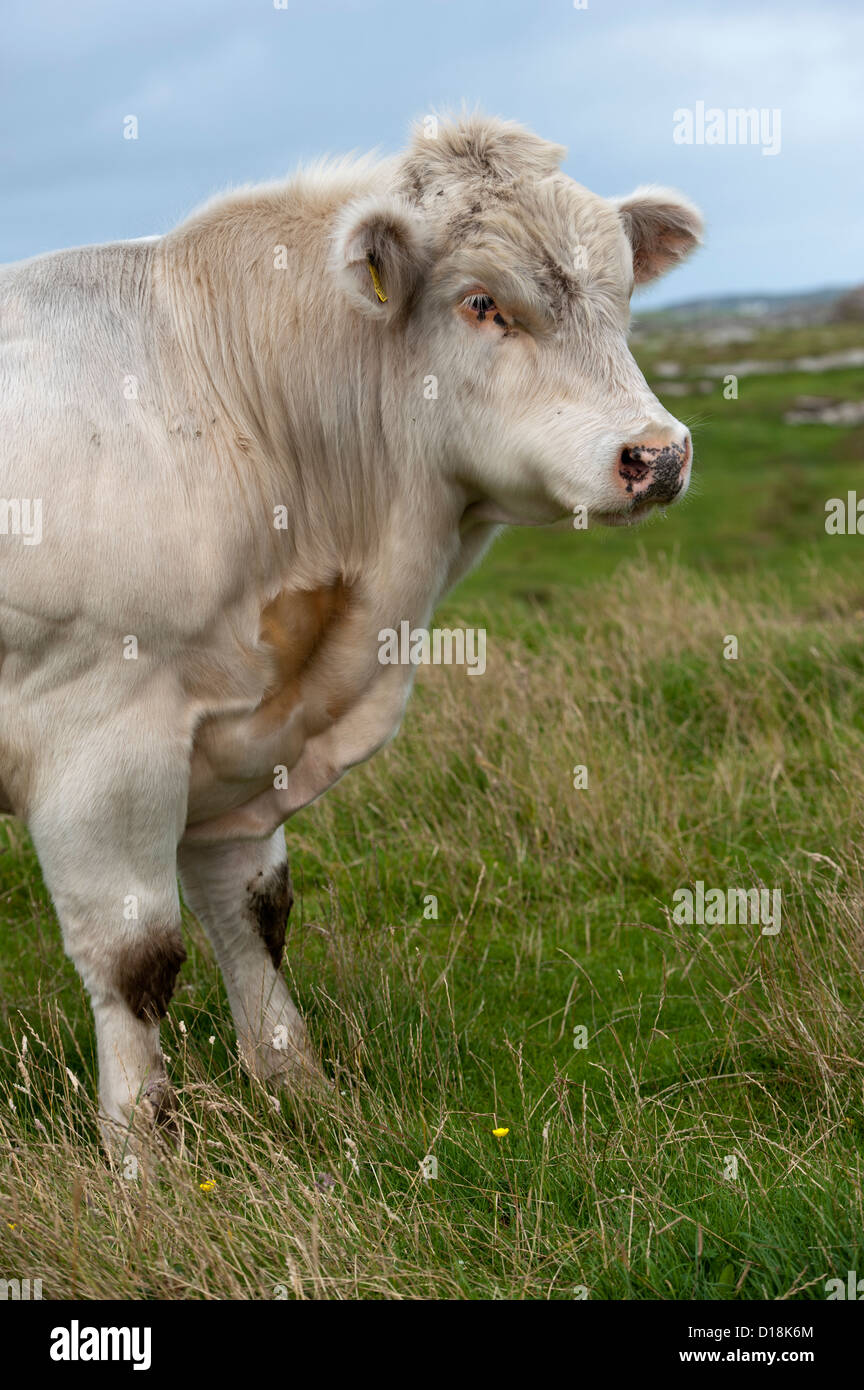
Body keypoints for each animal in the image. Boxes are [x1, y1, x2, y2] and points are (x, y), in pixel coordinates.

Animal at [0, 113, 702, 1154]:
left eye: (620, 298)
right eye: (482, 302)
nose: (657, 456)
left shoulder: (241, 741)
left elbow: (255, 917)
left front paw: (302, 1096)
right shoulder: (99, 737)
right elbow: (137, 958)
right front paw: (143, 1157)